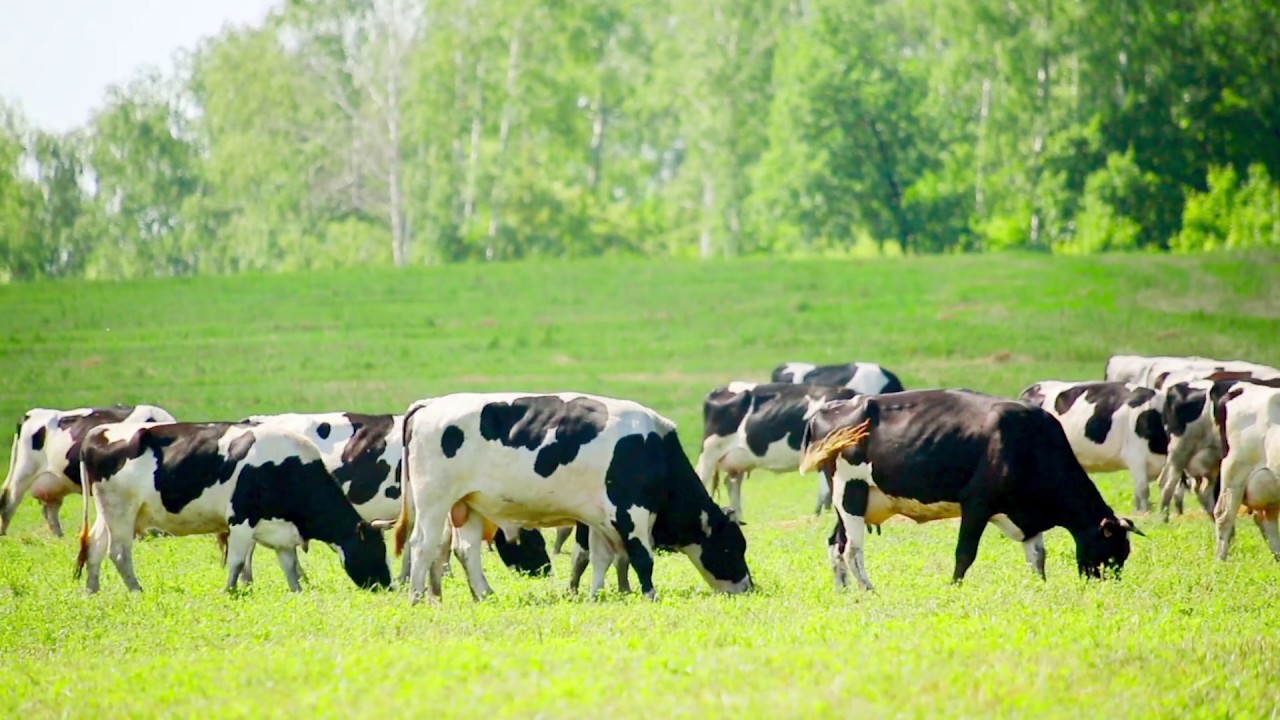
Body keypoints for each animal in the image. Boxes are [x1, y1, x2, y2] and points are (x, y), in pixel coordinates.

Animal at [1, 404, 176, 537]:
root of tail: (31, 414)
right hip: (23, 471)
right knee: (9, 502)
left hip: (54, 481)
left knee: (50, 510)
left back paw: (59, 537)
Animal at [75, 422, 391, 593]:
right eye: (375, 550)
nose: (387, 585)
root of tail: (99, 431)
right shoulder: (241, 520)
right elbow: (237, 561)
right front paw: (230, 591)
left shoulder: (281, 530)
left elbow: (289, 566)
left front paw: (298, 592)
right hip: (121, 510)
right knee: (119, 553)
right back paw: (137, 590)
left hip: (108, 512)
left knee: (95, 547)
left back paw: (92, 590)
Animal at [393, 392, 752, 603]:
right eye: (731, 547)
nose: (749, 586)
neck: (652, 450)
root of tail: (428, 405)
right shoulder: (631, 512)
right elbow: (641, 557)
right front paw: (650, 594)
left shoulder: (600, 516)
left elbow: (601, 558)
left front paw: (598, 594)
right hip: (434, 502)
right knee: (422, 546)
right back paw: (416, 597)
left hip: (467, 505)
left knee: (466, 551)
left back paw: (484, 594)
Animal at [798, 389, 1142, 591]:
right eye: (1113, 552)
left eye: (1124, 554)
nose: (1109, 588)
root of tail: (828, 409)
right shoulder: (977, 504)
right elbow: (965, 553)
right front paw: (954, 588)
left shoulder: (1026, 515)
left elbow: (1037, 556)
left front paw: (1040, 588)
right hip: (850, 493)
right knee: (851, 549)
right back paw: (869, 590)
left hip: (853, 500)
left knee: (836, 544)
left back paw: (845, 592)